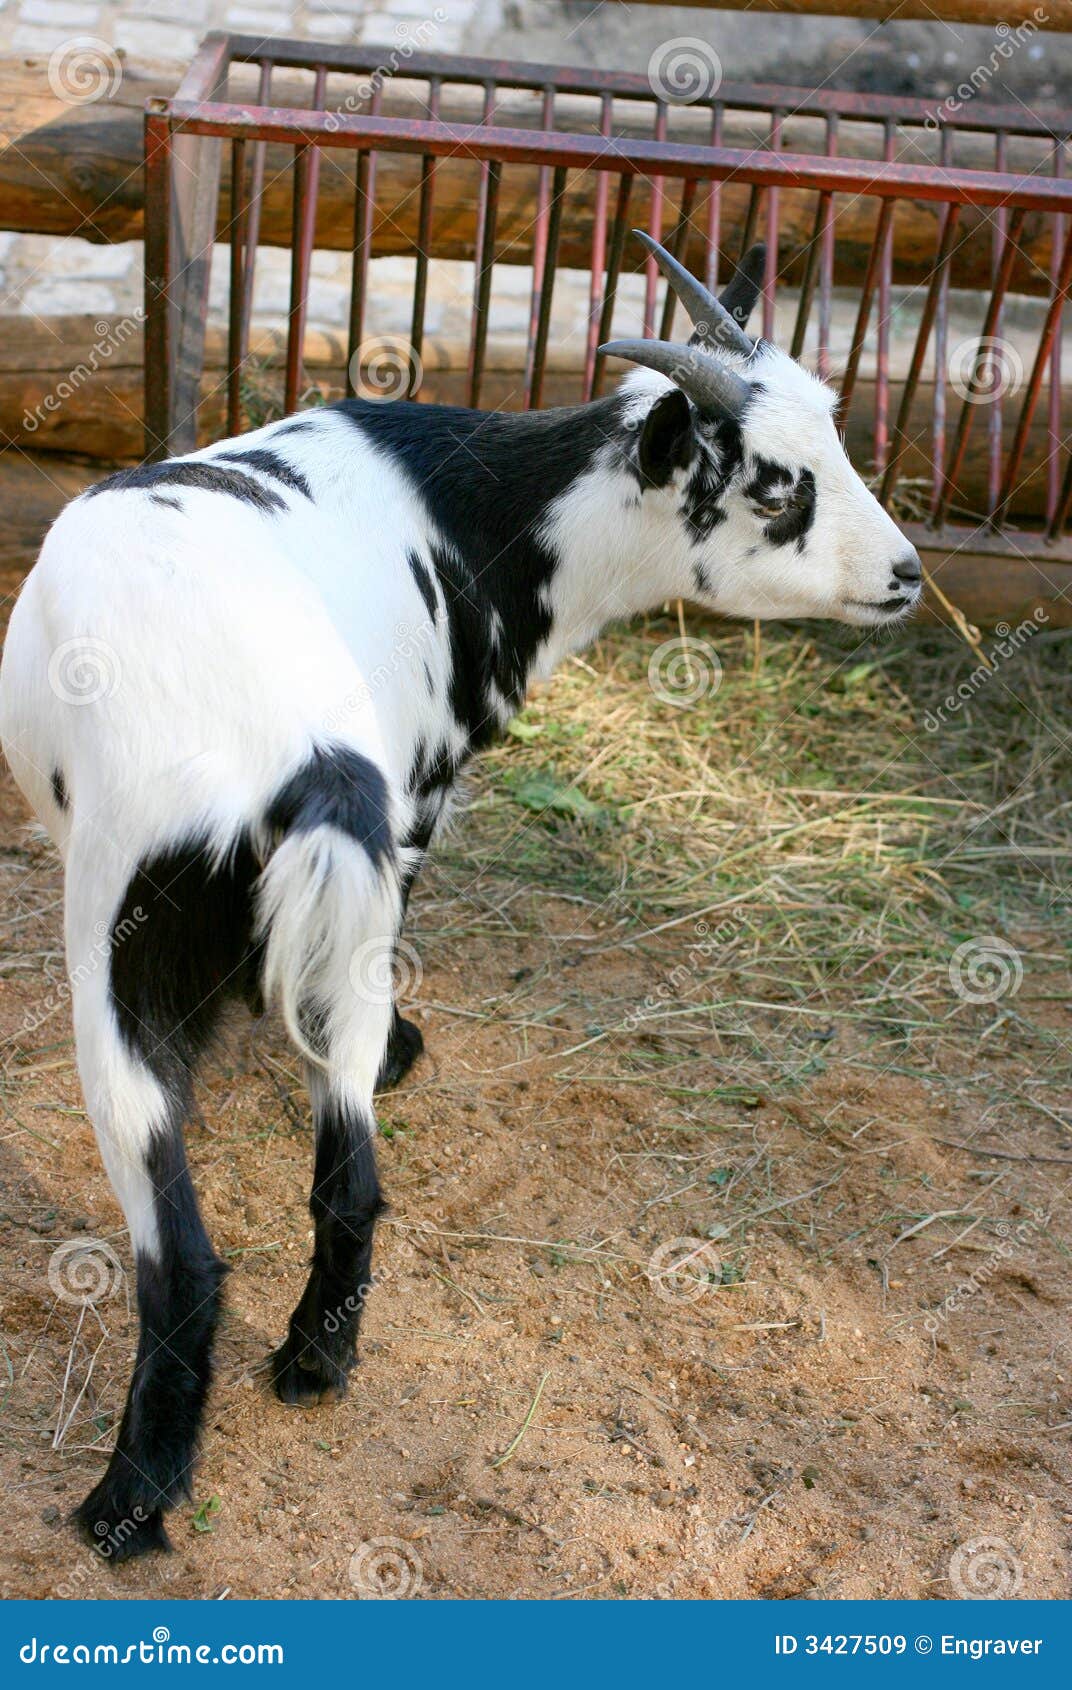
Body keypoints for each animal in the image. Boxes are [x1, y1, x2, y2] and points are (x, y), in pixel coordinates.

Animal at [0, 236, 921, 1559]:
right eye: (777, 485)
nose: (905, 574)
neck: (464, 513)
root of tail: (300, 763)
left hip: (121, 955)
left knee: (197, 1249)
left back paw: (133, 1495)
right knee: (340, 1185)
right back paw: (297, 1374)